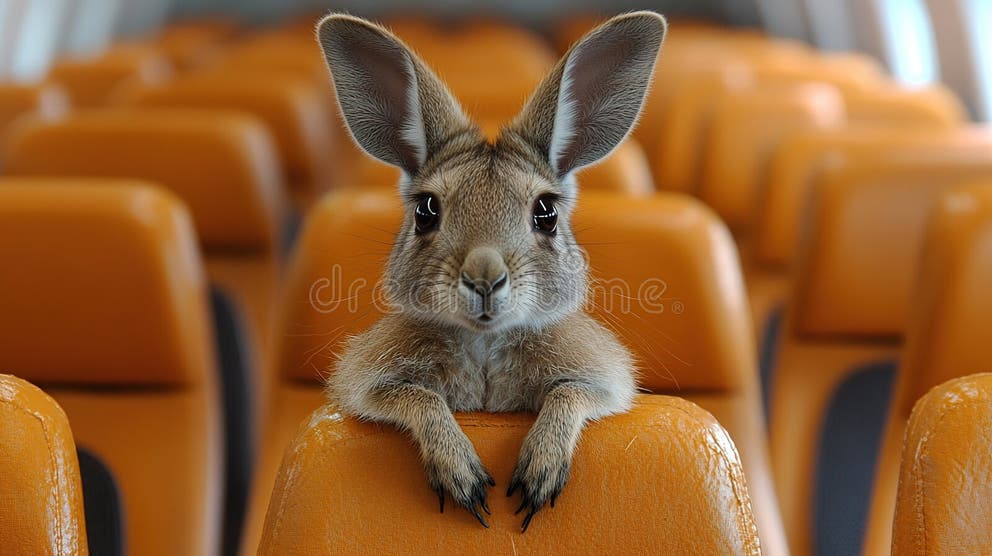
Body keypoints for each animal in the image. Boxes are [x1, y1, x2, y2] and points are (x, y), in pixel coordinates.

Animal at [316, 11, 666, 532]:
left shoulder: (604, 379)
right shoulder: (367, 382)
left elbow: (572, 395)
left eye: (546, 212)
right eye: (426, 211)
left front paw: (541, 470)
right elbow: (416, 398)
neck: (483, 344)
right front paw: (461, 472)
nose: (484, 279)